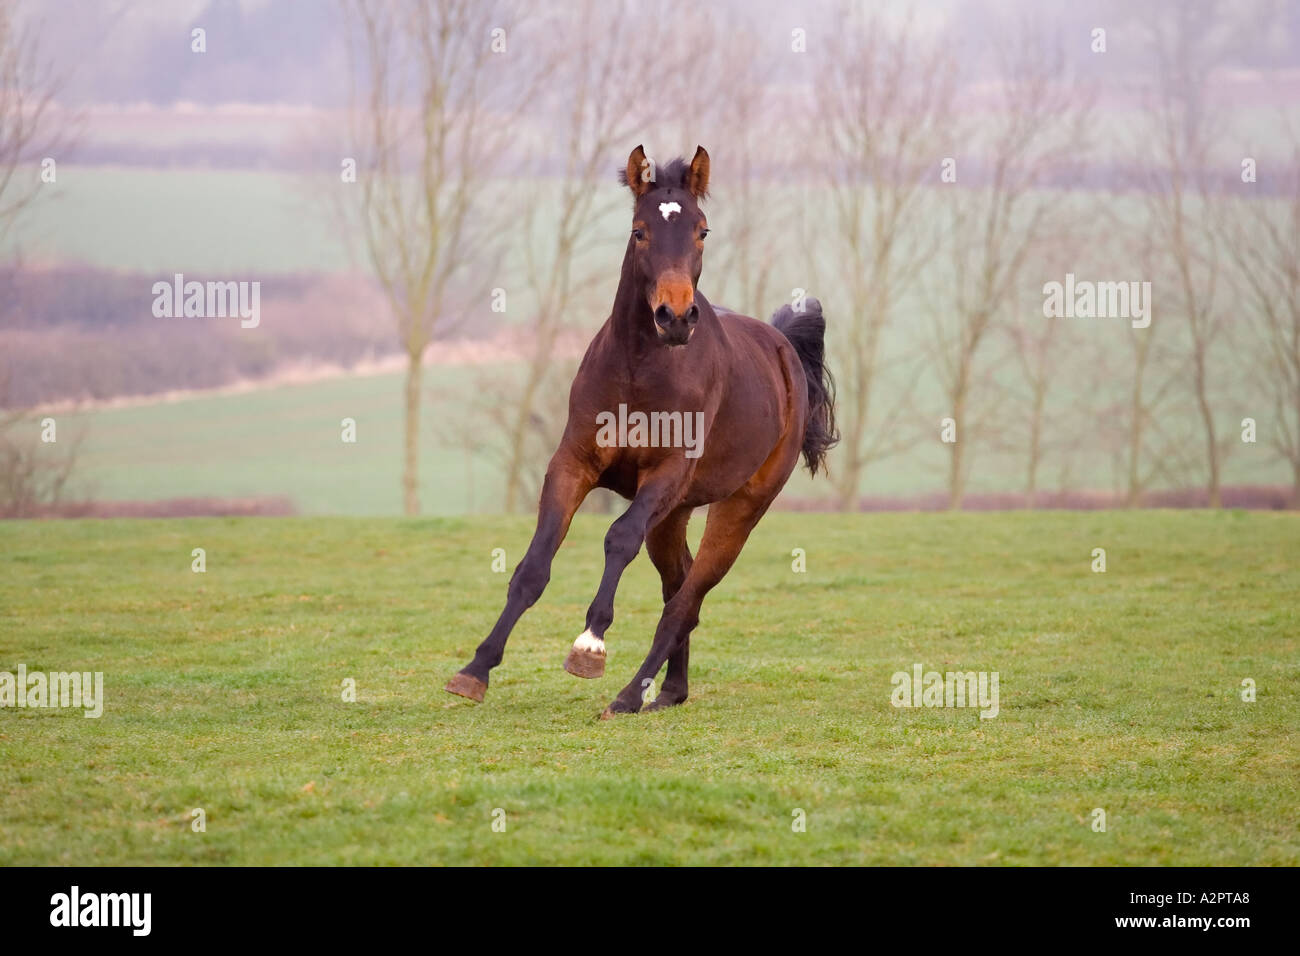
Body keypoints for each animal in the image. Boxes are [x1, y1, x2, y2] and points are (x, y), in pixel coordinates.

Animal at [445, 145, 838, 717]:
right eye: (639, 231)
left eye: (702, 230)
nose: (674, 317)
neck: (639, 370)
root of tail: (784, 349)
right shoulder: (574, 463)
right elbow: (535, 563)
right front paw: (475, 670)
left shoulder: (665, 475)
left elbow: (618, 537)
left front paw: (588, 647)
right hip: (673, 515)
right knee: (678, 586)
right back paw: (669, 691)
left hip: (740, 508)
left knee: (686, 600)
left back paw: (629, 695)